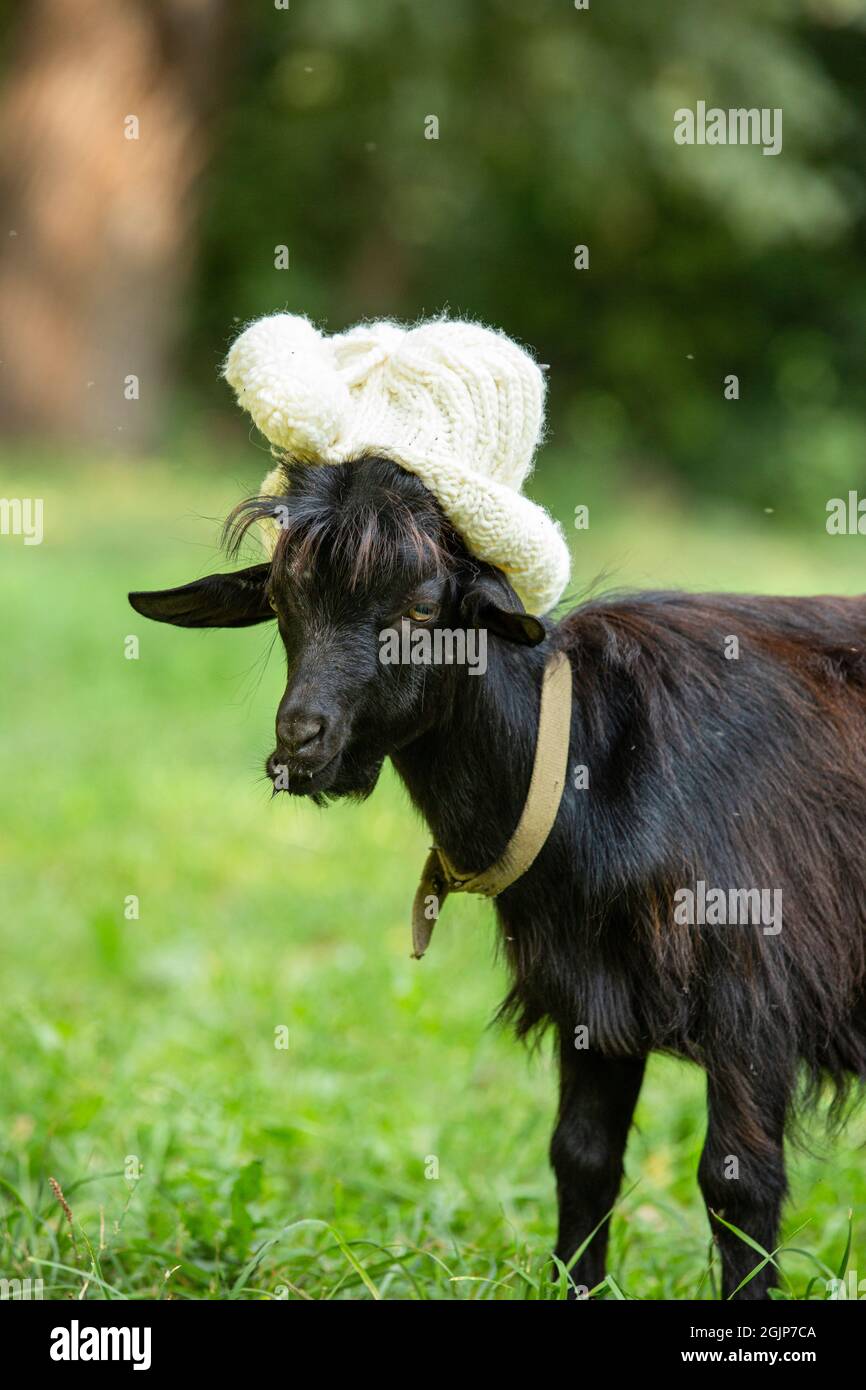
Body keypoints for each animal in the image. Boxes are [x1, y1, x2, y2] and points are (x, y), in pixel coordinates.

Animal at [129, 454, 866, 1299]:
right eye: (283, 599)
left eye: (422, 608)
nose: (300, 744)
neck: (590, 755)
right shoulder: (594, 1002)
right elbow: (582, 1160)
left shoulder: (757, 1003)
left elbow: (737, 1184)